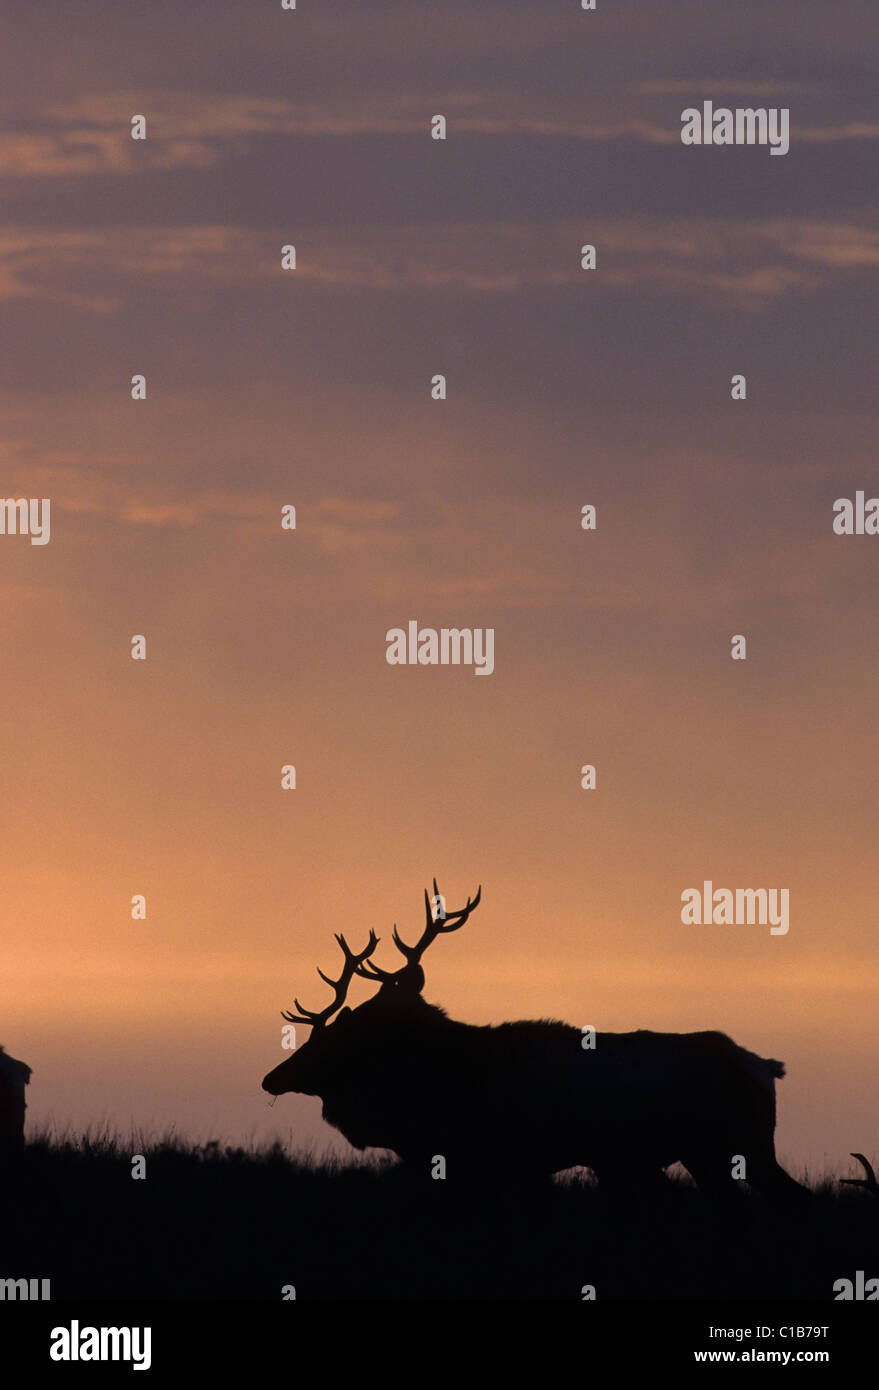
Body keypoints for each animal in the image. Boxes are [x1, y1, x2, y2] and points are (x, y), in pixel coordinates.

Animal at [262, 882, 808, 1200]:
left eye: (346, 1029)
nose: (271, 1078)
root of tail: (765, 1066)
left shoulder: (507, 1159)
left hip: (741, 1142)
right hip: (712, 1153)